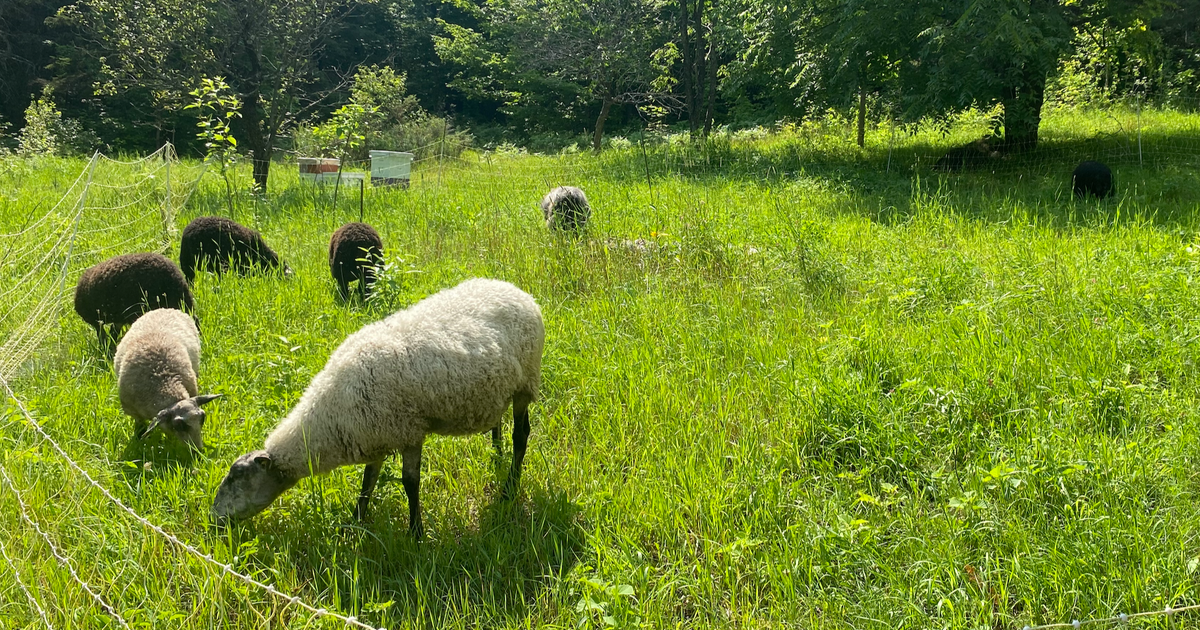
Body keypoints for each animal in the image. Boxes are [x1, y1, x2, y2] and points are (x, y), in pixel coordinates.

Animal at [113, 308, 221, 449]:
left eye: (203, 417)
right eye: (179, 425)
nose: (197, 451)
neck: (163, 382)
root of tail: (165, 308)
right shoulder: (135, 413)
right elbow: (140, 429)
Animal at [211, 278, 544, 537]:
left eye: (236, 479)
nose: (212, 520)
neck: (329, 415)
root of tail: (515, 290)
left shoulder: (408, 431)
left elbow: (410, 483)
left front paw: (415, 533)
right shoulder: (373, 435)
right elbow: (367, 482)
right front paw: (354, 523)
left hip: (526, 382)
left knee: (521, 435)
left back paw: (509, 487)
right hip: (500, 387)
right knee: (498, 423)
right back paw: (496, 456)